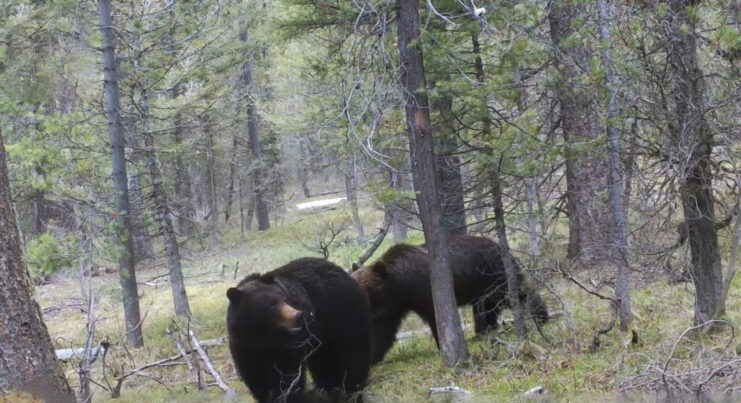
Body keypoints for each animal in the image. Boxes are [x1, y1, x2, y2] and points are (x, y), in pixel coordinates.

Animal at [226, 258, 372, 403]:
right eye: (272, 305)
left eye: (284, 299)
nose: (298, 315)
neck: (264, 337)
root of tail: (341, 270)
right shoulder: (244, 346)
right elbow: (255, 377)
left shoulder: (289, 344)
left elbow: (287, 373)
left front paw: (287, 395)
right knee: (324, 363)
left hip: (341, 314)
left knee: (353, 354)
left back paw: (353, 389)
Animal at [351, 235, 548, 364]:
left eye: (365, 287)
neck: (401, 287)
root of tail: (499, 246)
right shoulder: (391, 307)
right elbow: (382, 331)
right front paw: (372, 357)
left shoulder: (424, 292)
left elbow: (436, 318)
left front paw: (444, 346)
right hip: (482, 287)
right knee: (485, 309)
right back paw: (484, 331)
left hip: (492, 274)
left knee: (516, 293)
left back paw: (541, 316)